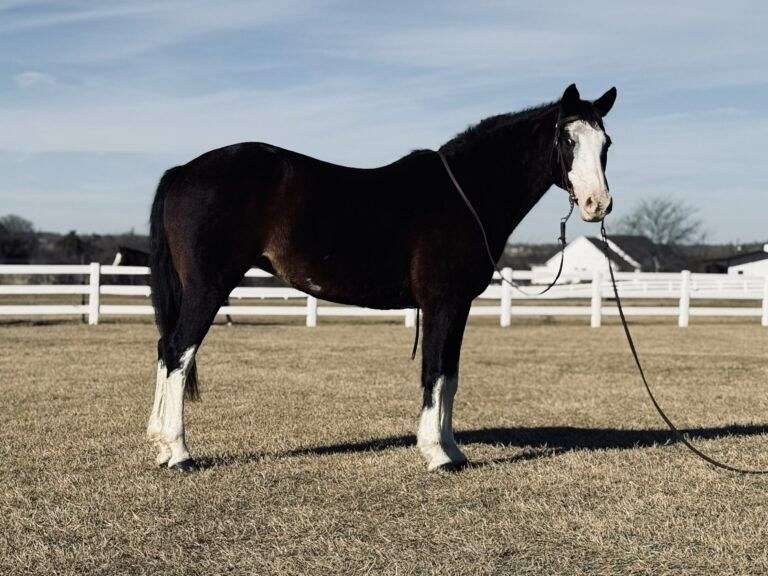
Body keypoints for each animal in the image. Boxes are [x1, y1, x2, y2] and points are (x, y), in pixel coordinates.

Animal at [146, 83, 617, 472]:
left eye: (606, 143)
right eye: (568, 139)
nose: (598, 204)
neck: (466, 194)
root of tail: (183, 171)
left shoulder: (459, 305)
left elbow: (451, 374)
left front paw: (454, 450)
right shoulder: (441, 303)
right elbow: (434, 372)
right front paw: (436, 454)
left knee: (165, 350)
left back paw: (161, 446)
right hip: (208, 288)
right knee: (178, 352)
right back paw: (180, 453)